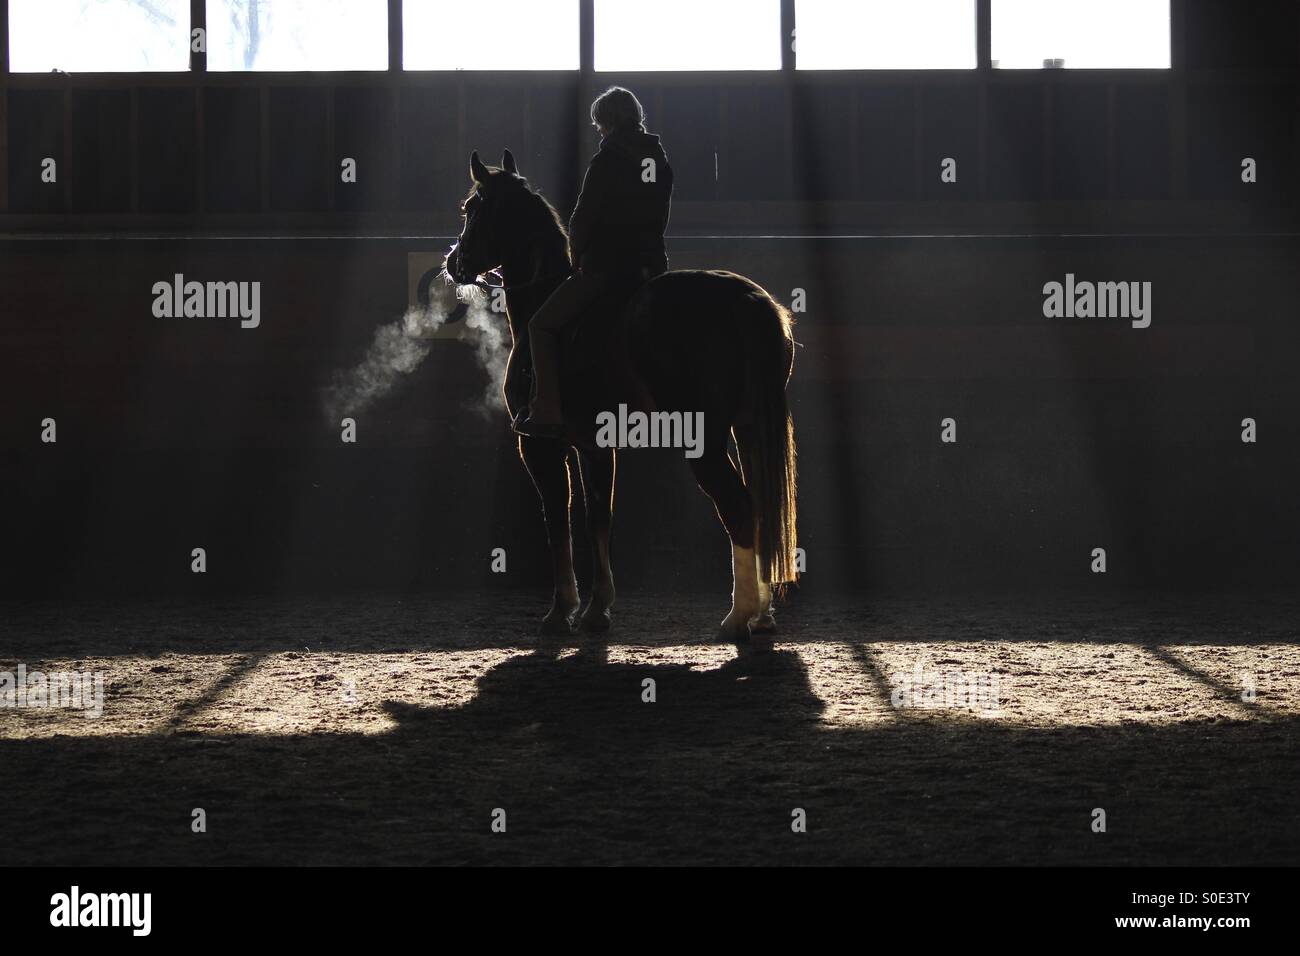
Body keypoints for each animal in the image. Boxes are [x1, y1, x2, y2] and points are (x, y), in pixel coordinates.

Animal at [444, 149, 797, 641]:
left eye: (470, 208)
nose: (453, 262)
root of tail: (747, 300)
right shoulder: (594, 446)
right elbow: (598, 519)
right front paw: (597, 610)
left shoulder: (539, 447)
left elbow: (558, 522)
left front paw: (561, 612)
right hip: (747, 427)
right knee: (759, 509)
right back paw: (761, 615)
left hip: (705, 441)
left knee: (739, 509)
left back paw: (737, 618)